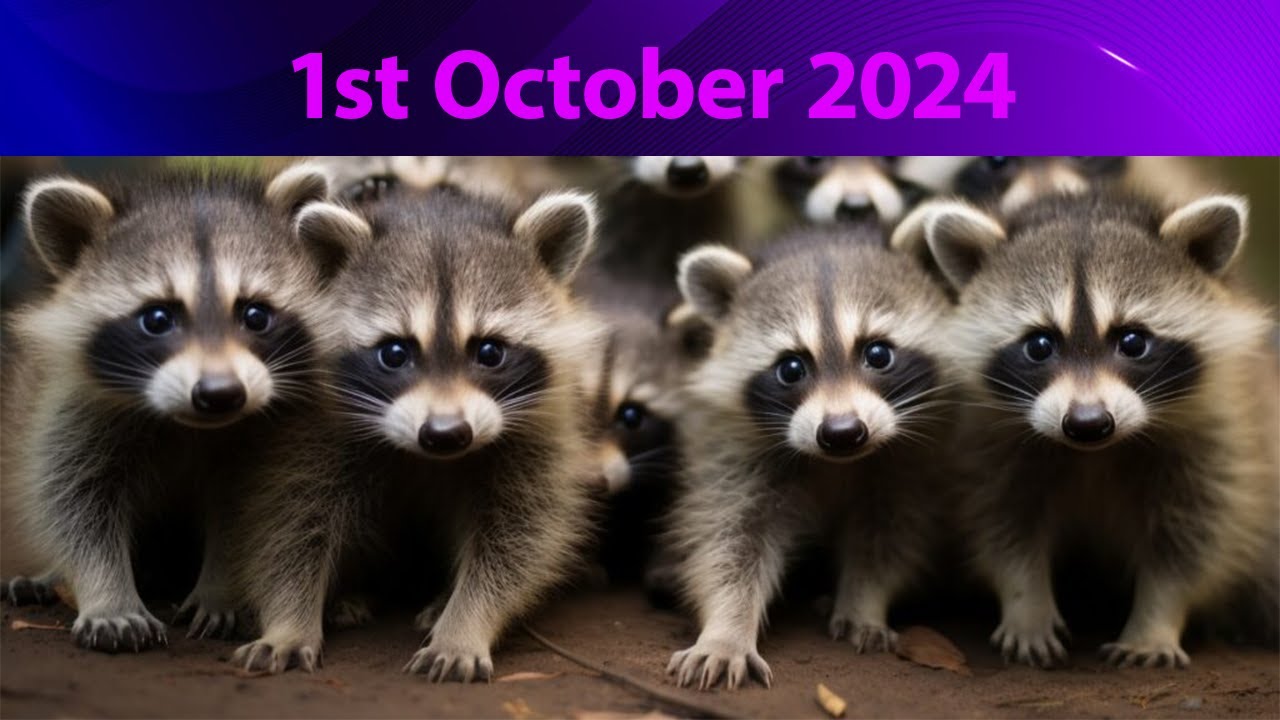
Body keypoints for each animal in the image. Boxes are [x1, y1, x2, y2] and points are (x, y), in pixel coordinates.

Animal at [0, 165, 334, 651]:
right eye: (157, 319)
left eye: (255, 315)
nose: (220, 393)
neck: (192, 423)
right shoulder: (71, 405)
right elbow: (74, 500)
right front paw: (108, 595)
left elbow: (250, 508)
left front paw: (219, 588)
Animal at [232, 187, 601, 680]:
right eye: (394, 352)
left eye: (490, 351)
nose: (445, 434)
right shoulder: (315, 425)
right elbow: (290, 521)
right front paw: (289, 621)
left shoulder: (542, 424)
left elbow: (520, 535)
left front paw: (465, 622)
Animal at [664, 226, 953, 690]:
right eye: (791, 368)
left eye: (878, 354)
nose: (842, 433)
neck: (837, 463)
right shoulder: (734, 446)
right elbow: (731, 540)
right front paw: (727, 629)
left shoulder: (911, 460)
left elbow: (888, 534)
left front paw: (864, 600)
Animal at [920, 190, 1278, 668]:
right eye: (1039, 345)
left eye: (1133, 342)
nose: (1087, 424)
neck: (1094, 452)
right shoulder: (988, 441)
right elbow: (1001, 524)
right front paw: (1025, 604)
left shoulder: (1218, 437)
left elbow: (1195, 541)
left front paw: (1155, 620)